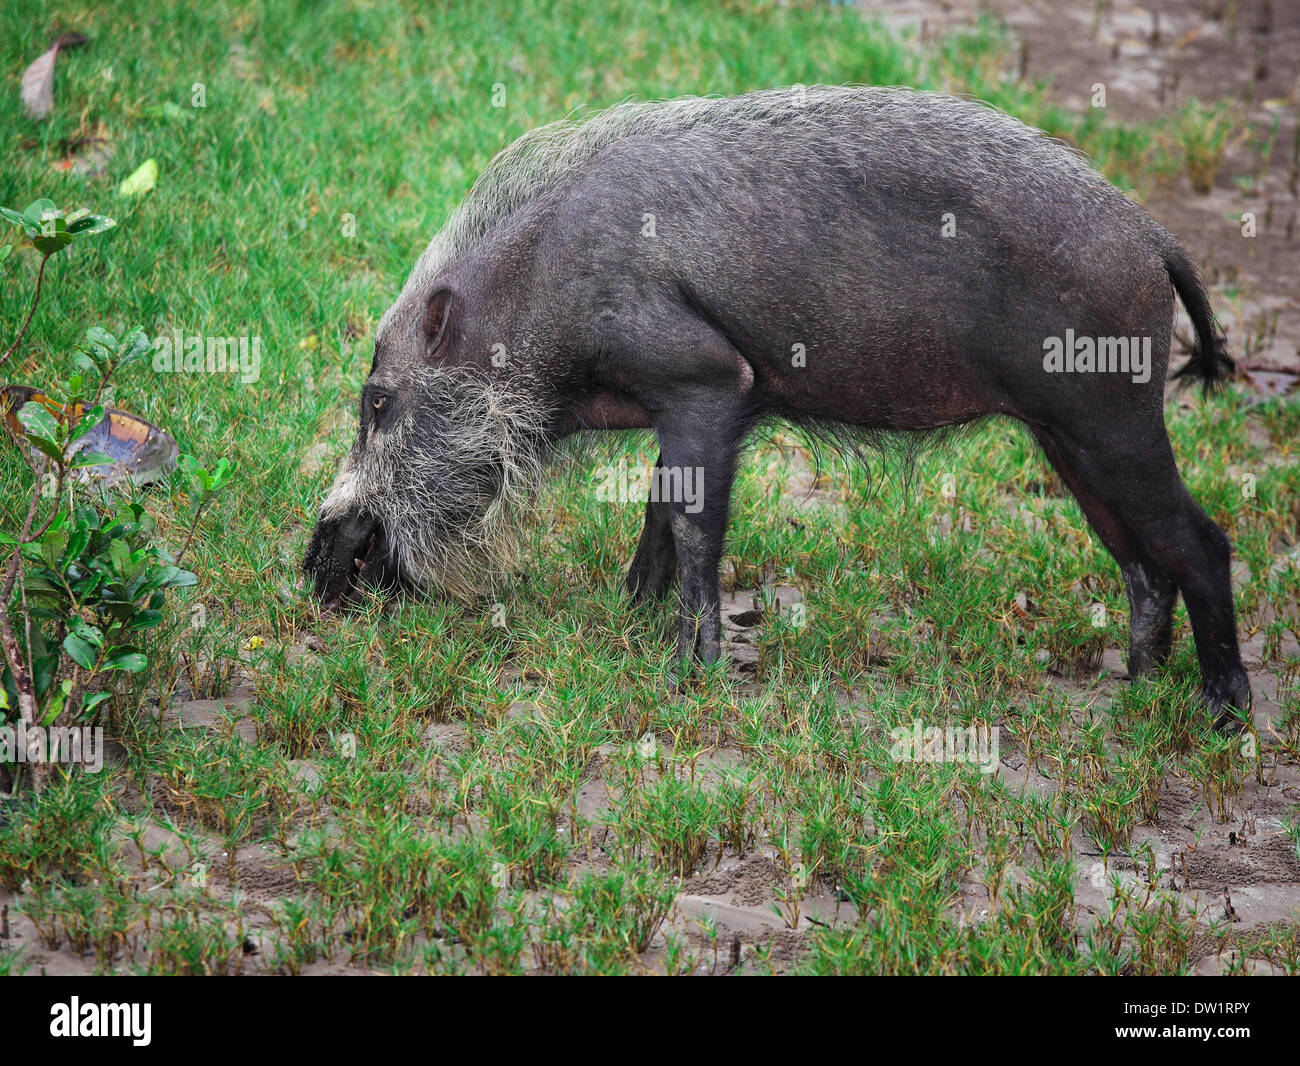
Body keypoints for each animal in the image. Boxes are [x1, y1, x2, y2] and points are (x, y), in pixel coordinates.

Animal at [303, 86, 1251, 729]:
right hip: (1068, 436)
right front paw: (632, 620)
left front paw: (692, 675)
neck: (540, 299)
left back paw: (1221, 715)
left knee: (1202, 541)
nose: (313, 567)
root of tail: (1154, 240)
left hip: (1112, 417)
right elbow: (658, 510)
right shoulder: (682, 406)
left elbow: (694, 525)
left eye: (377, 402)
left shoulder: (709, 380)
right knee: (1140, 562)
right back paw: (1132, 689)